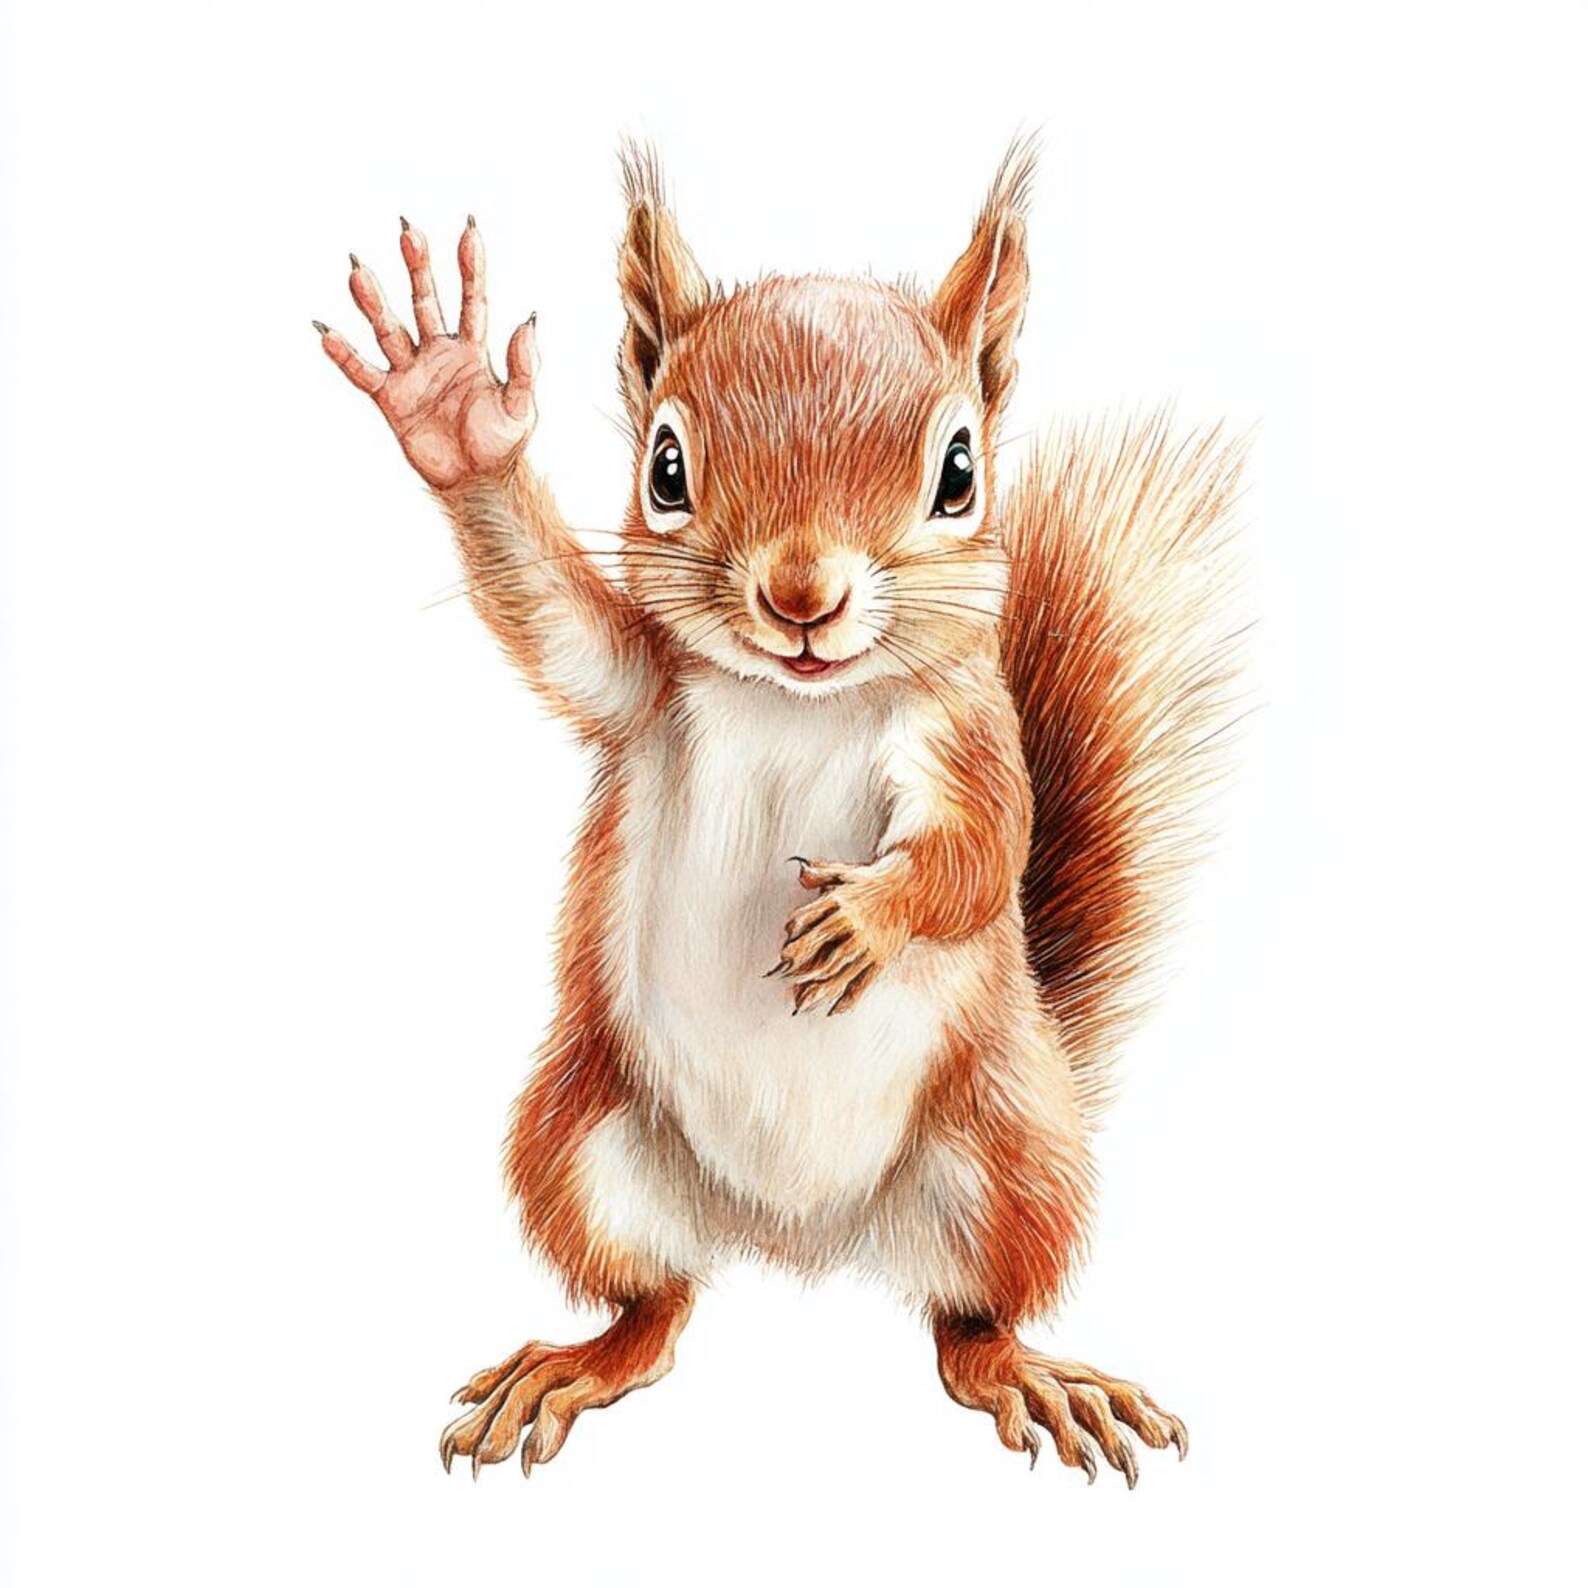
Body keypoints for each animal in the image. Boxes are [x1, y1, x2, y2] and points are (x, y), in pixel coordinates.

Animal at [317, 141, 1243, 1485]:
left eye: (959, 472)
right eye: (664, 466)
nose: (802, 596)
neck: (803, 702)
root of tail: (798, 1236)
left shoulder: (974, 739)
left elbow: (980, 854)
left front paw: (863, 921)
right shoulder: (638, 684)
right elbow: (551, 620)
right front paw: (455, 412)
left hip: (1010, 1162)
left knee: (967, 1325)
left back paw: (1030, 1370)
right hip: (579, 1145)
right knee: (656, 1305)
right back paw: (581, 1360)